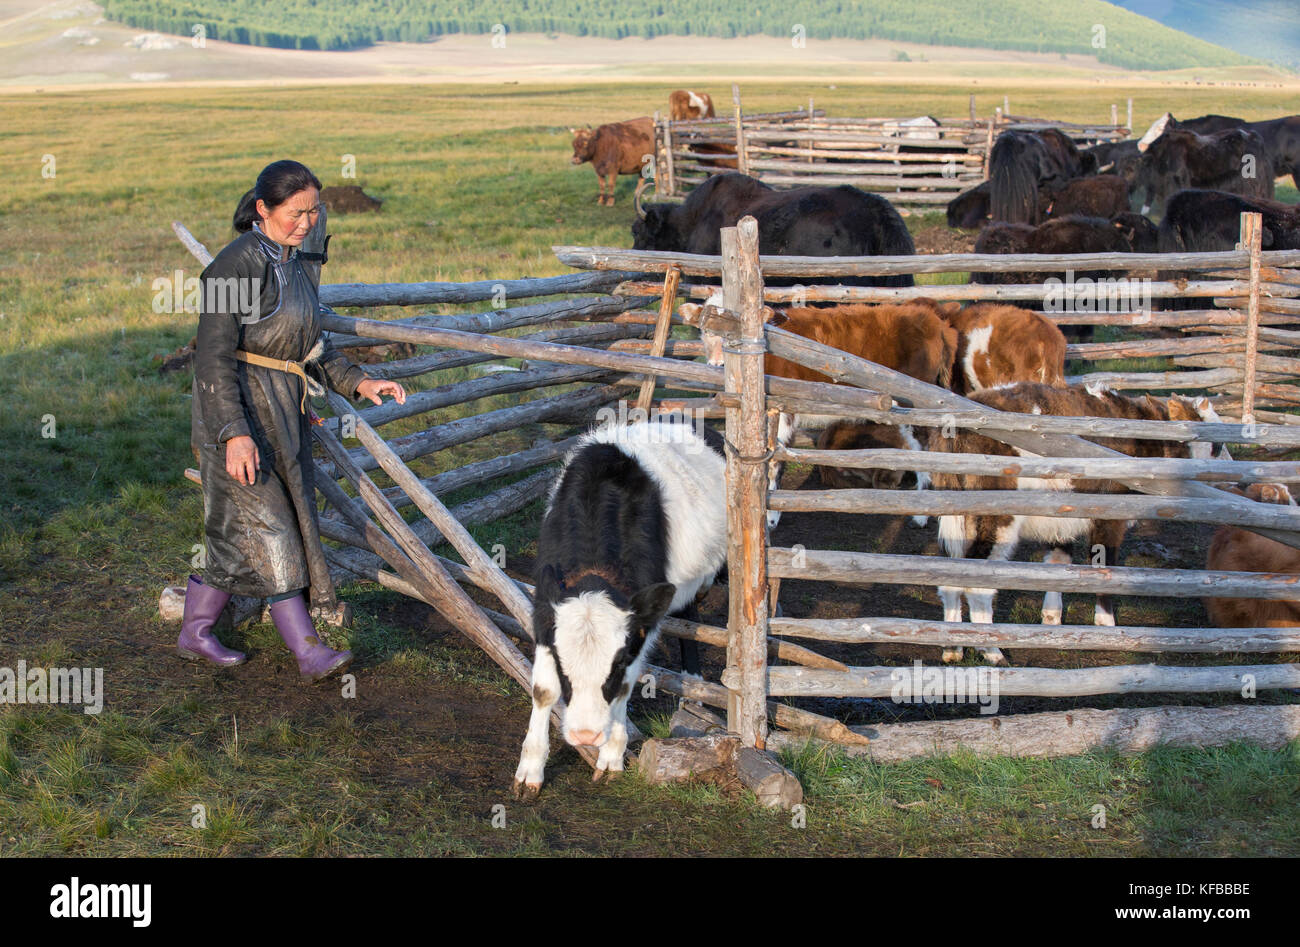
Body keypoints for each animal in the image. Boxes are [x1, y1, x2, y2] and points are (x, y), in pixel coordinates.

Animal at [513, 419, 728, 799]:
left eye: (615, 665)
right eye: (562, 666)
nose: (585, 735)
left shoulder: (643, 620)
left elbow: (628, 685)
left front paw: (611, 754)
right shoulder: (545, 610)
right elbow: (543, 690)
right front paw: (530, 770)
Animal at [927, 382, 1220, 665]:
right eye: (1217, 446)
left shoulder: (1061, 521)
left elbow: (1059, 563)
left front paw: (1052, 618)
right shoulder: (1109, 517)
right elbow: (1104, 566)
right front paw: (1106, 624)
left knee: (949, 578)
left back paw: (952, 648)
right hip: (997, 523)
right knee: (977, 582)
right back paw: (992, 651)